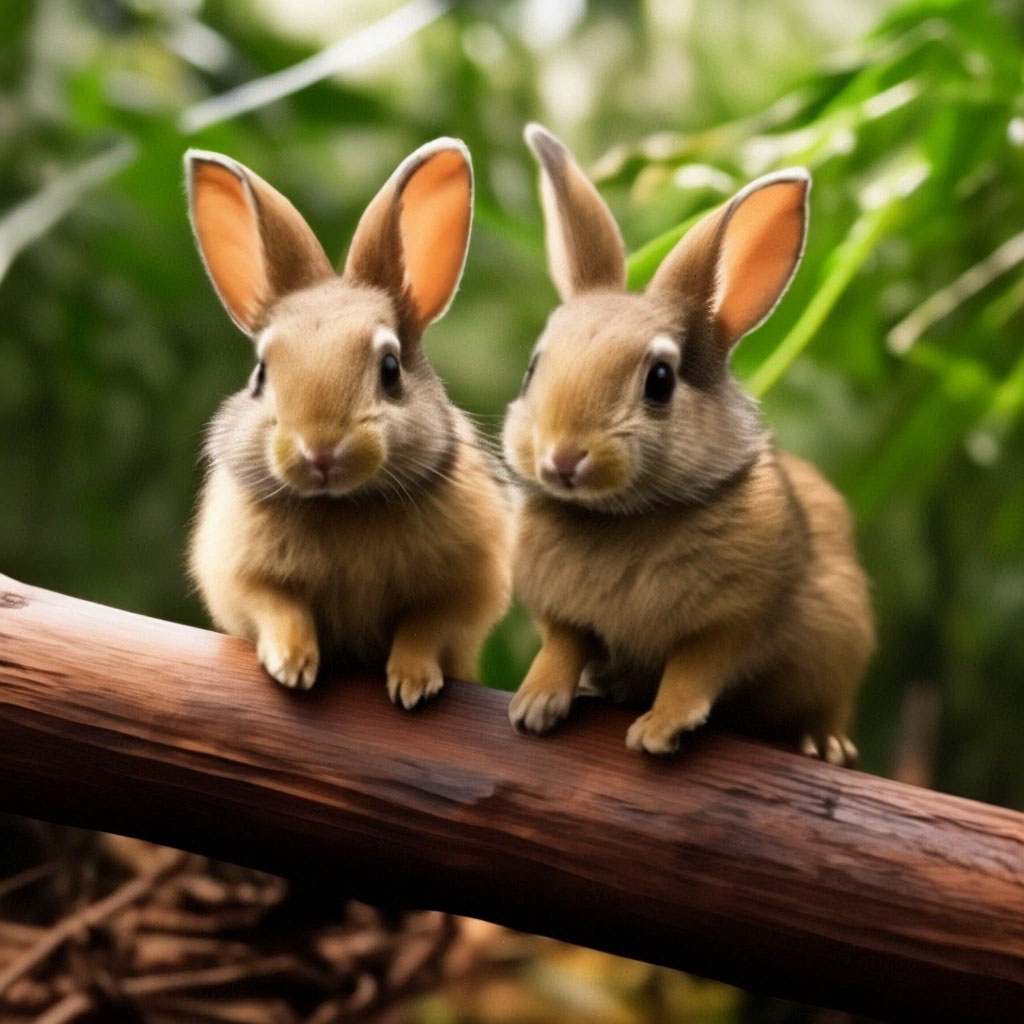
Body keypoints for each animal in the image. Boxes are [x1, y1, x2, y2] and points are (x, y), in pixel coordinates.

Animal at [185, 139, 512, 708]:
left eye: (390, 369)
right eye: (261, 374)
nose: (319, 452)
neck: (342, 505)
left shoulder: (462, 588)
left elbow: (424, 628)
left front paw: (412, 684)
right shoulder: (244, 578)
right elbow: (280, 610)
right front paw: (292, 665)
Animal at [503, 124, 874, 763]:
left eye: (659, 381)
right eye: (532, 370)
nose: (563, 459)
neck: (622, 518)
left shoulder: (733, 621)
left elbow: (693, 669)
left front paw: (659, 729)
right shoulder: (563, 614)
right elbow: (563, 647)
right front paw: (535, 704)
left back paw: (824, 746)